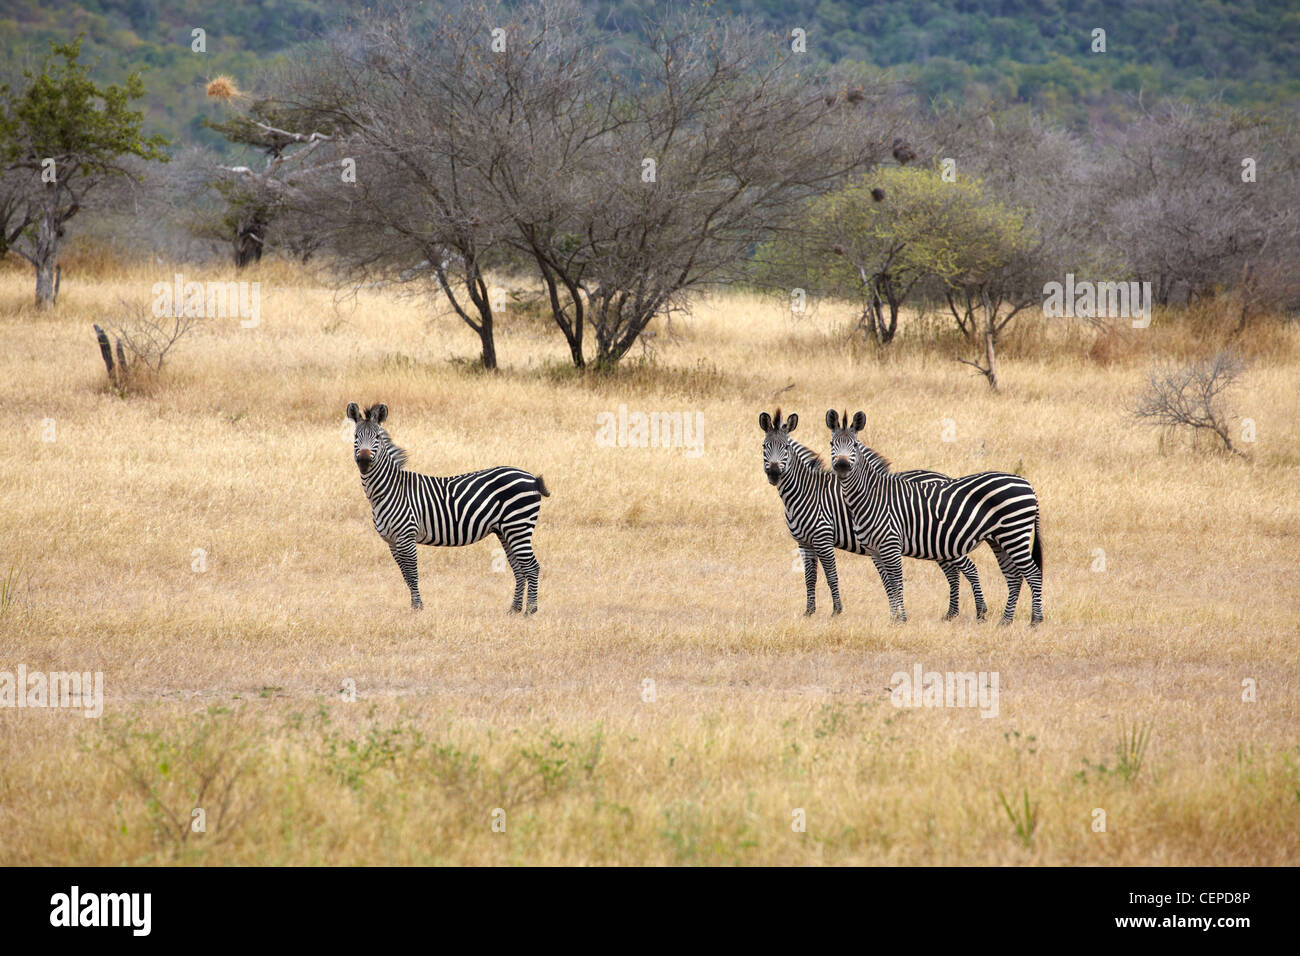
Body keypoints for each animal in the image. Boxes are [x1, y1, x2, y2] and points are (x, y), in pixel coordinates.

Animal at [347, 402, 549, 614]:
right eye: (355, 437)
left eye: (377, 437)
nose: (363, 461)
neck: (390, 490)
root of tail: (531, 477)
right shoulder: (392, 541)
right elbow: (405, 575)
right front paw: (415, 607)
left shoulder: (406, 536)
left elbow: (412, 574)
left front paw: (418, 608)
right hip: (506, 530)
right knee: (519, 568)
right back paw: (514, 610)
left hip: (519, 526)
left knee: (532, 567)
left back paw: (530, 611)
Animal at [827, 409, 1043, 625]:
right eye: (831, 444)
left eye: (855, 445)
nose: (842, 465)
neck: (870, 496)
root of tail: (1027, 484)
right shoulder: (874, 550)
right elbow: (887, 583)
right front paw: (893, 618)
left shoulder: (891, 545)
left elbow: (896, 582)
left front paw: (901, 619)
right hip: (999, 539)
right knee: (1014, 577)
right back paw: (1005, 621)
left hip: (1014, 533)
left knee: (1033, 573)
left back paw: (1035, 620)